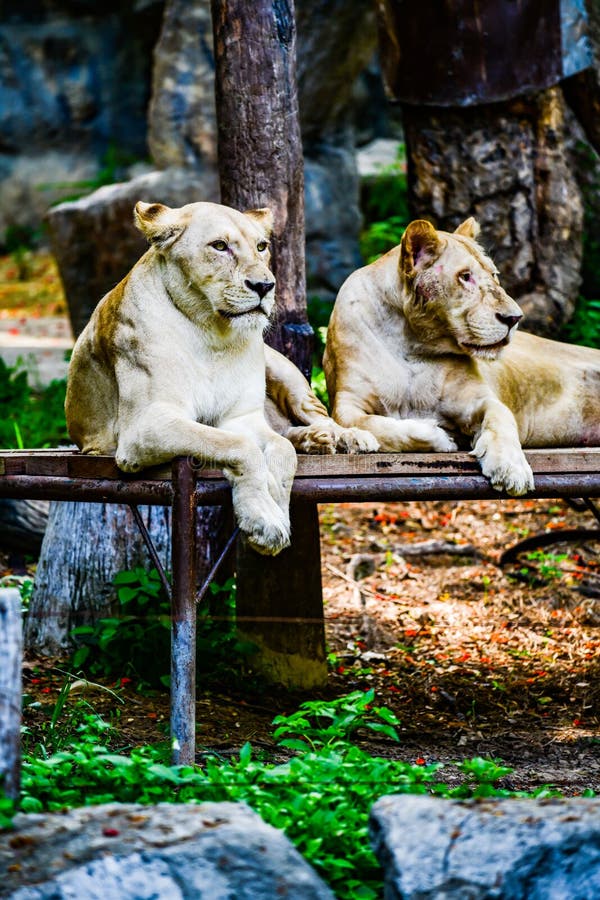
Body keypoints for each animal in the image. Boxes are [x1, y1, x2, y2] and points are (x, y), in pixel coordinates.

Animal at [66, 200, 375, 556]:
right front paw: (265, 516)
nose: (264, 286)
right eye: (219, 246)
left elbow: (281, 451)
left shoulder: (241, 417)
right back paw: (316, 440)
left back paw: (344, 437)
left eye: (261, 247)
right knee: (287, 431)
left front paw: (274, 507)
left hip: (286, 373)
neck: (212, 335)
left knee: (313, 418)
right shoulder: (144, 427)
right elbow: (239, 445)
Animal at [323, 217, 600, 496]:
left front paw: (511, 469)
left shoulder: (478, 400)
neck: (412, 345)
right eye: (465, 277)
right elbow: (374, 424)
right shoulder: (346, 404)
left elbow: (502, 418)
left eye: (494, 275)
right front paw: (439, 437)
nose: (514, 318)